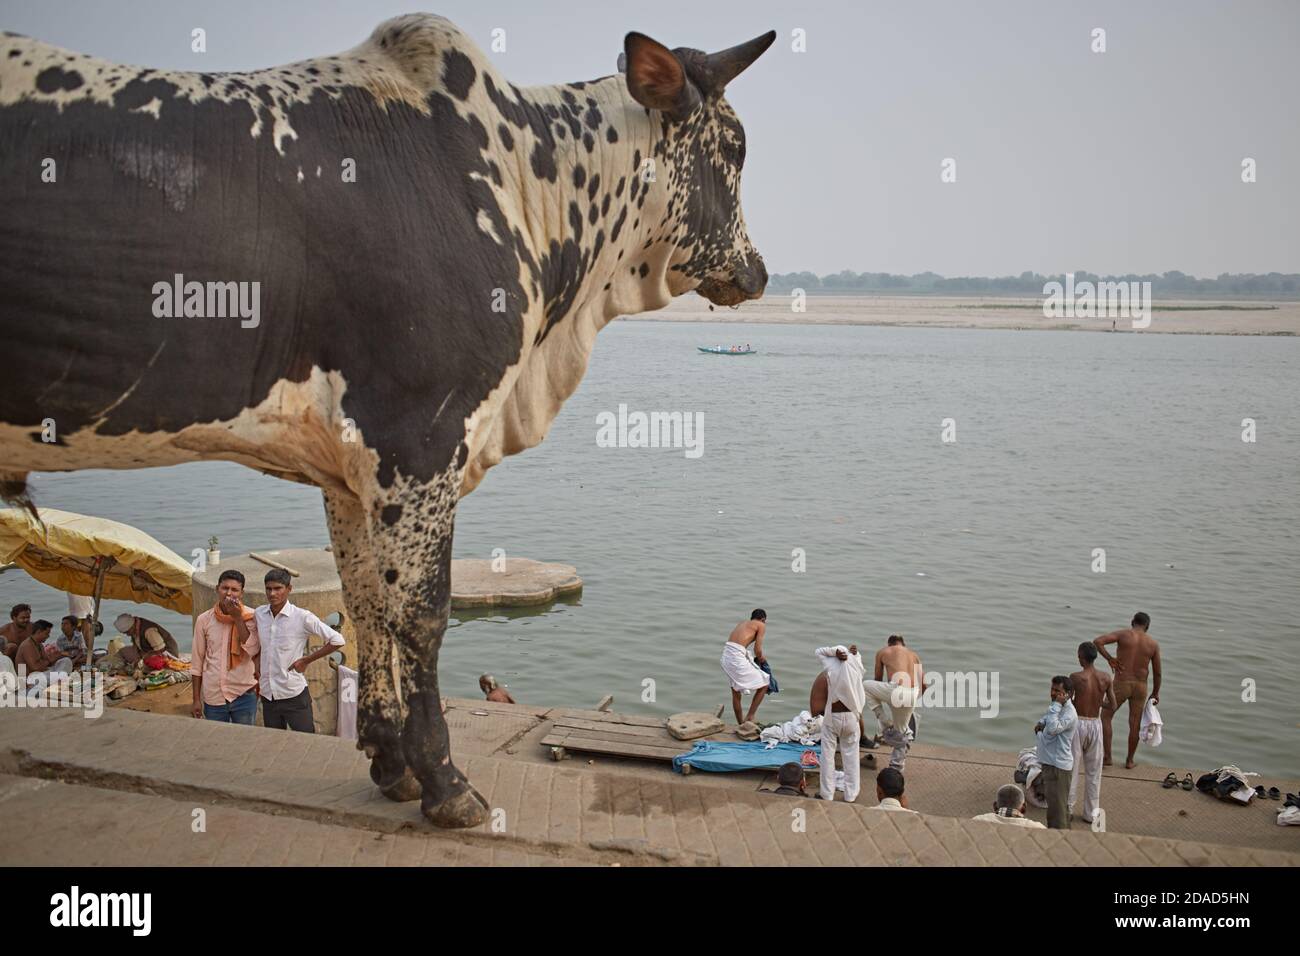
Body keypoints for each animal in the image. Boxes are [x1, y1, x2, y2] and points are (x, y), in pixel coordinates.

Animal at [0, 13, 772, 827]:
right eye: (736, 148)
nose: (758, 271)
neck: (527, 187)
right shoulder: (421, 436)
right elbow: (420, 616)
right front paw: (444, 782)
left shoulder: (348, 470)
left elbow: (366, 603)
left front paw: (388, 760)